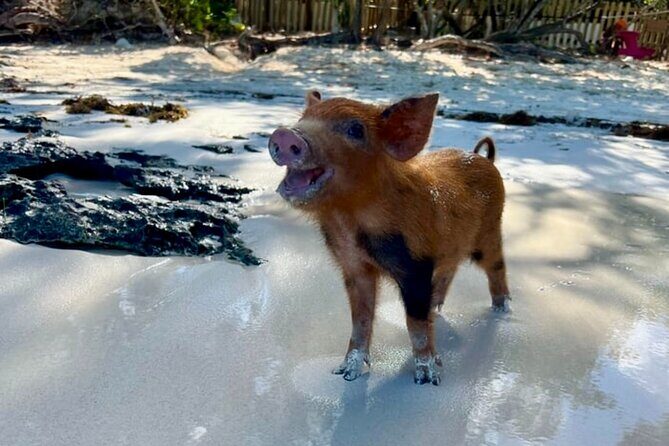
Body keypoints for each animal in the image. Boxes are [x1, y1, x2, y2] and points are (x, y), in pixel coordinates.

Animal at [268, 91, 509, 385]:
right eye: (303, 118)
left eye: (355, 130)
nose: (285, 134)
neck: (348, 221)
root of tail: (485, 158)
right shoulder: (354, 267)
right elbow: (360, 319)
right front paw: (345, 374)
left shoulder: (415, 267)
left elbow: (414, 322)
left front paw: (426, 379)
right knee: (449, 270)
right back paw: (437, 307)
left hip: (490, 231)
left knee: (496, 267)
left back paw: (502, 311)